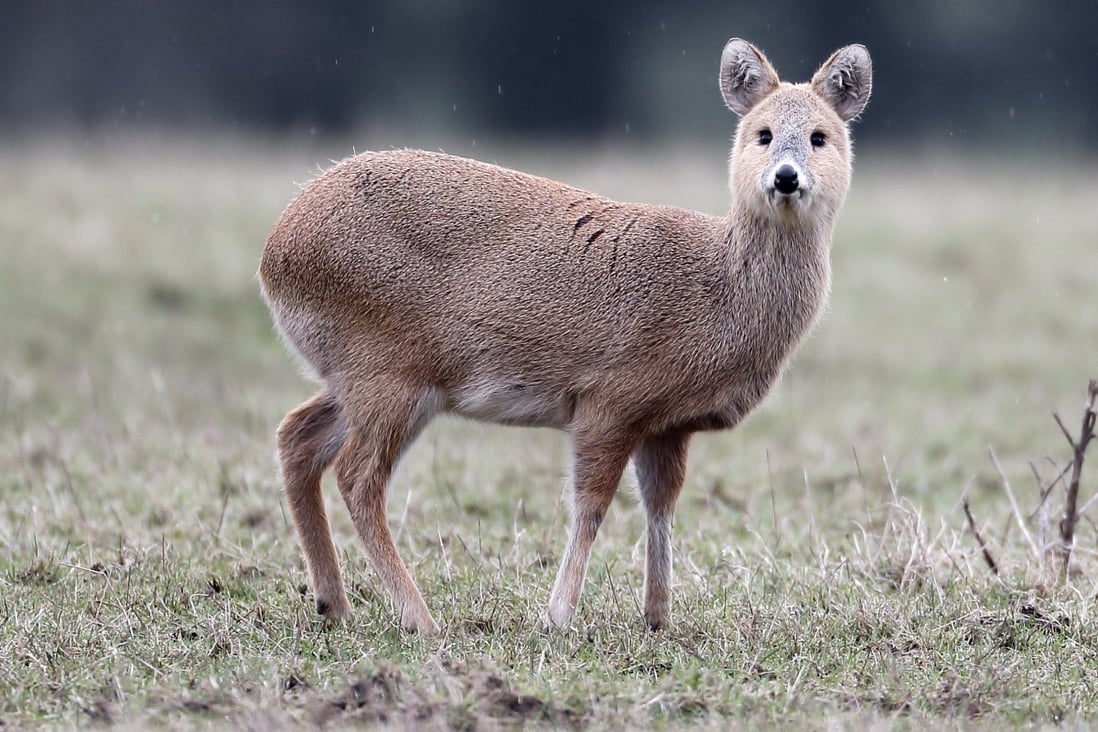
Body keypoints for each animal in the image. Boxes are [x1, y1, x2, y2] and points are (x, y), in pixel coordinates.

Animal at [259, 39, 872, 635]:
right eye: (761, 133)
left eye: (820, 137)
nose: (786, 176)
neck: (719, 289)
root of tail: (276, 250)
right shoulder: (611, 398)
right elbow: (592, 505)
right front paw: (558, 616)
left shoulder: (667, 424)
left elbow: (660, 506)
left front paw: (658, 617)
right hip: (390, 371)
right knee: (357, 476)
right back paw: (420, 618)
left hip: (359, 375)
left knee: (297, 437)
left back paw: (334, 603)